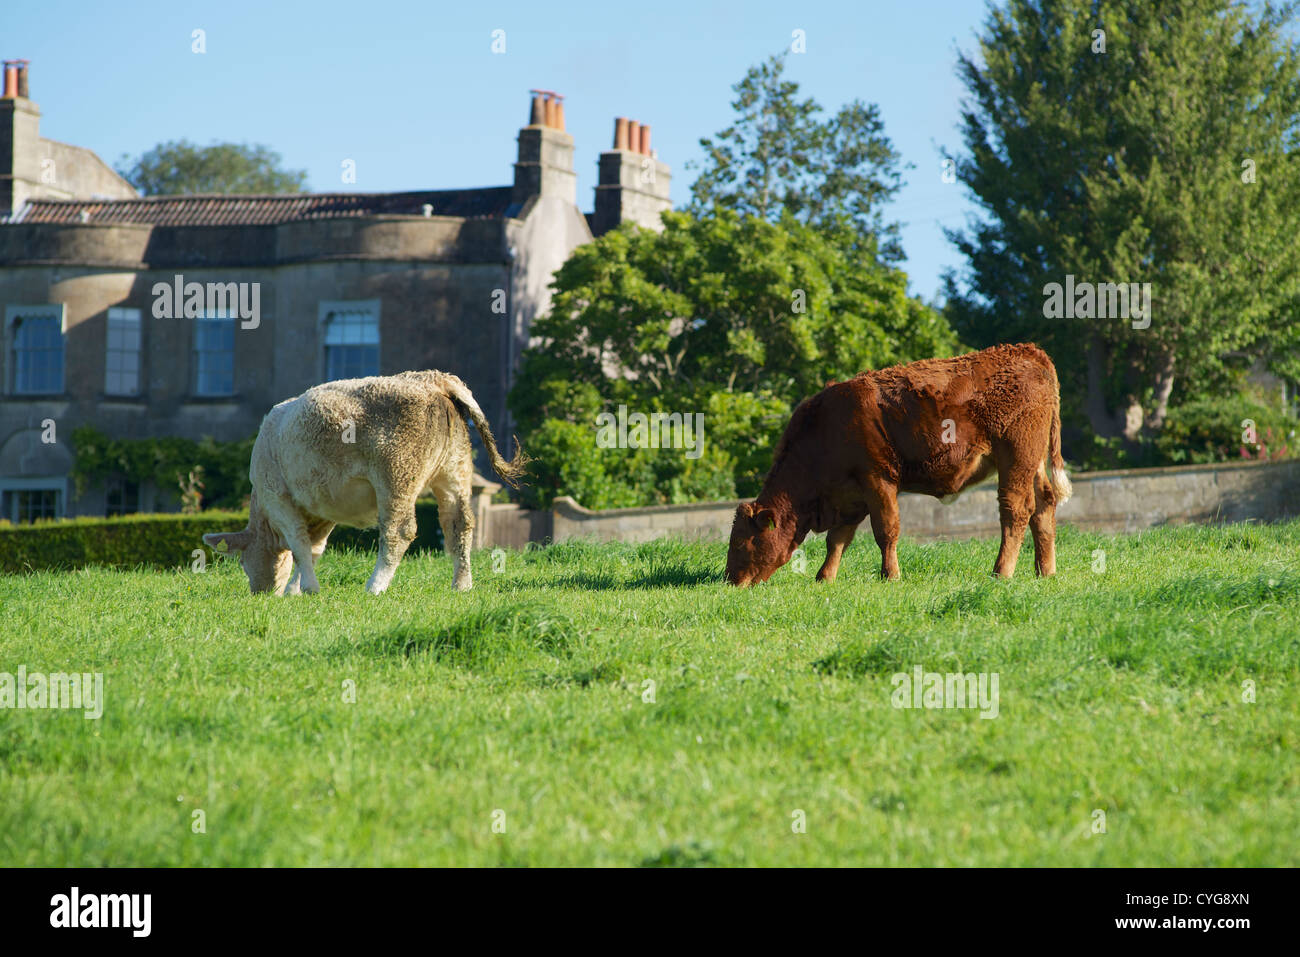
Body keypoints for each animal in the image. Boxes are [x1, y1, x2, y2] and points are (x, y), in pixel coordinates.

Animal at [202, 371, 526, 595]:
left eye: (242, 562)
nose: (260, 593)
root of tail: (433, 379)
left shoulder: (279, 499)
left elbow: (300, 544)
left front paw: (306, 588)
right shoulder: (323, 508)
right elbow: (313, 549)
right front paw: (297, 588)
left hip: (396, 476)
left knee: (399, 531)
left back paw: (375, 586)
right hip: (453, 471)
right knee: (460, 524)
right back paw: (462, 585)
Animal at [725, 343, 1072, 587]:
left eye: (742, 541)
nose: (730, 581)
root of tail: (1027, 350)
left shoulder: (877, 479)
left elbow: (885, 530)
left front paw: (890, 575)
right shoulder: (849, 495)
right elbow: (837, 539)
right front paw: (825, 577)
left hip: (1016, 456)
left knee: (1016, 509)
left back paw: (1001, 571)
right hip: (1032, 462)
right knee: (1043, 505)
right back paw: (1045, 571)